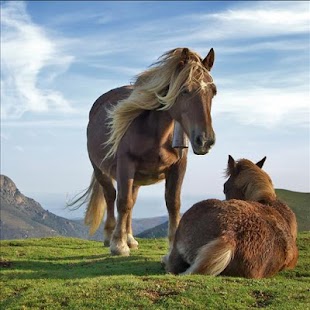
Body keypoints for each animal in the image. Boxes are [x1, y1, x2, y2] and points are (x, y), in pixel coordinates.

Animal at [73, 47, 218, 256]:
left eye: (213, 92)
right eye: (184, 90)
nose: (205, 140)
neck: (156, 132)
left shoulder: (178, 166)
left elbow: (173, 203)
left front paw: (172, 246)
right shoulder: (125, 165)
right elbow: (122, 202)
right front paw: (118, 245)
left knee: (132, 202)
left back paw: (130, 238)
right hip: (101, 170)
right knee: (111, 196)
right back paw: (110, 236)